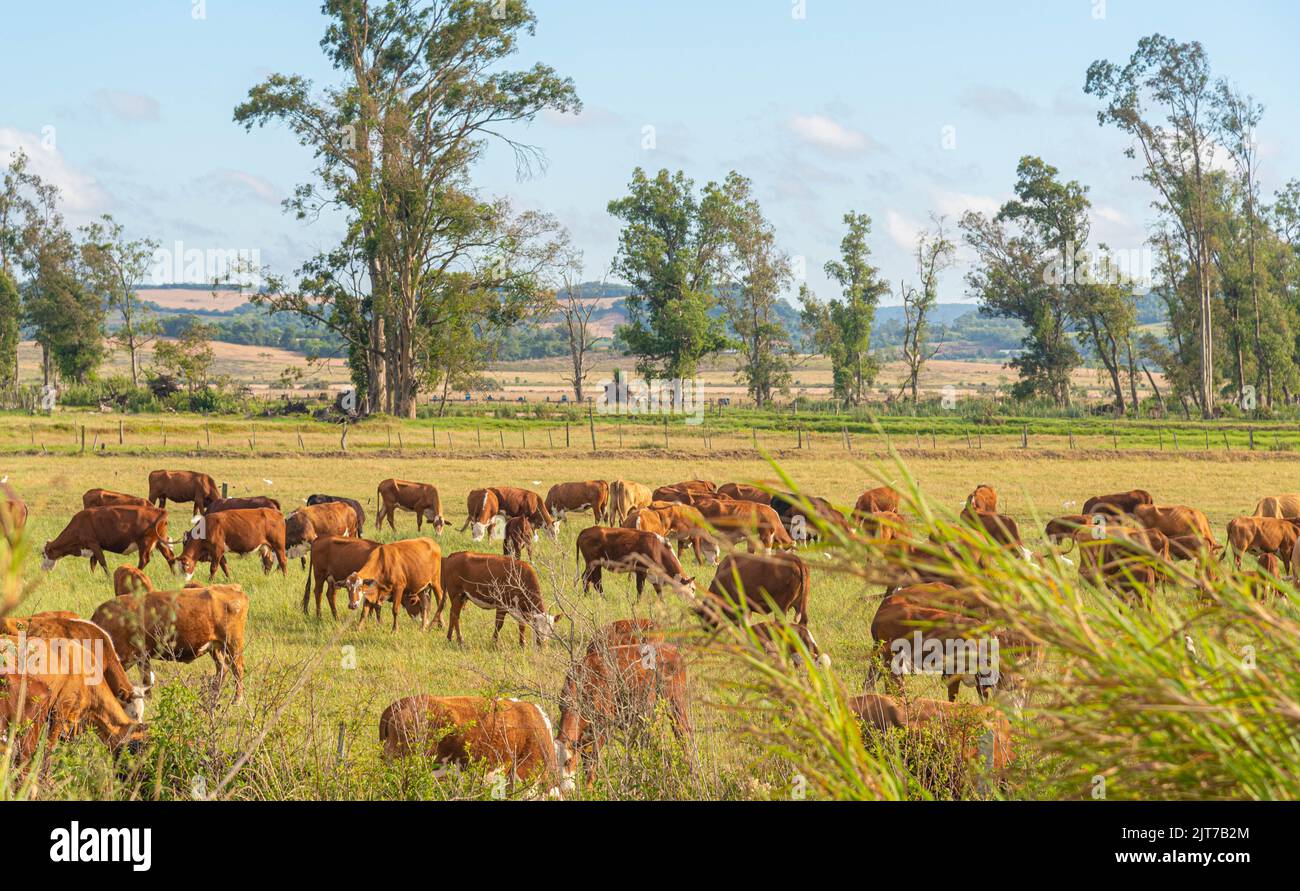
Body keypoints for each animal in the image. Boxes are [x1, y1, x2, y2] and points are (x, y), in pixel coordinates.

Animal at [42, 504, 175, 573]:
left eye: (43, 554)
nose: (42, 569)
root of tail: (159, 510)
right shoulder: (94, 547)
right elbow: (93, 563)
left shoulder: (94, 543)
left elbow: (102, 561)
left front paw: (109, 578)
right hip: (160, 541)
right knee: (169, 556)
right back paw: (174, 575)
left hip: (145, 543)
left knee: (144, 560)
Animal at [91, 584, 250, 701]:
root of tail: (233, 587)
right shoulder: (142, 657)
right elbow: (146, 680)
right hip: (215, 647)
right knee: (223, 668)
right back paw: (212, 695)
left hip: (233, 644)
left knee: (237, 668)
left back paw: (237, 699)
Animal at [554, 641, 691, 783]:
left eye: (568, 761)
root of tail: (673, 649)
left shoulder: (603, 726)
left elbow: (591, 765)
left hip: (676, 703)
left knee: (684, 734)